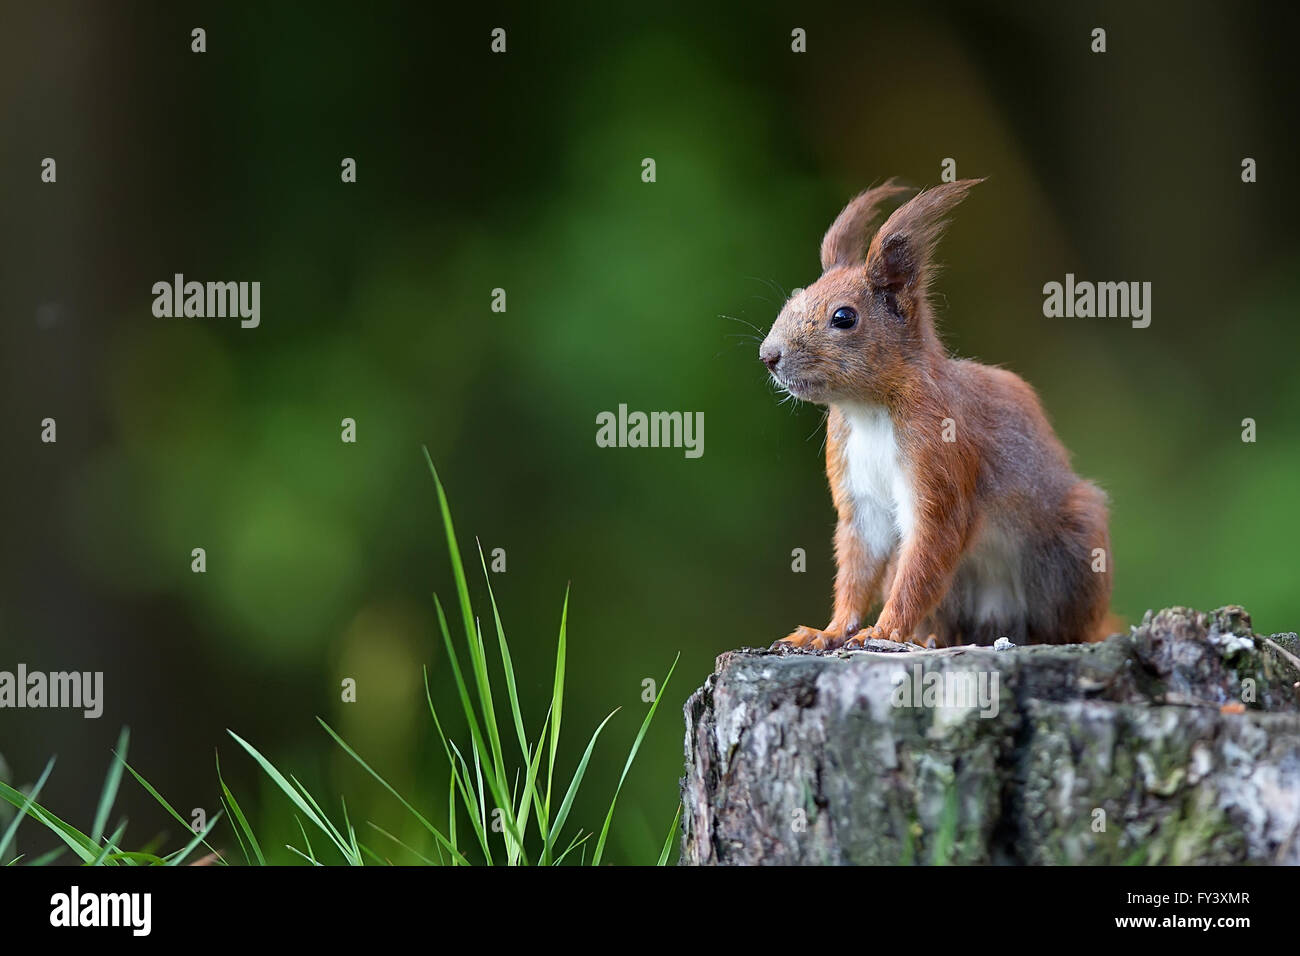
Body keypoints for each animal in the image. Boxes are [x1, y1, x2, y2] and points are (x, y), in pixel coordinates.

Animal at [759, 179, 1112, 650]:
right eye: (793, 298)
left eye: (844, 317)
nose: (768, 356)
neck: (869, 409)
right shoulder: (857, 492)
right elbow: (859, 562)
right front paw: (829, 631)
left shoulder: (939, 454)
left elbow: (930, 548)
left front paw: (884, 629)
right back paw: (931, 639)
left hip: (1072, 550)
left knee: (1065, 624)